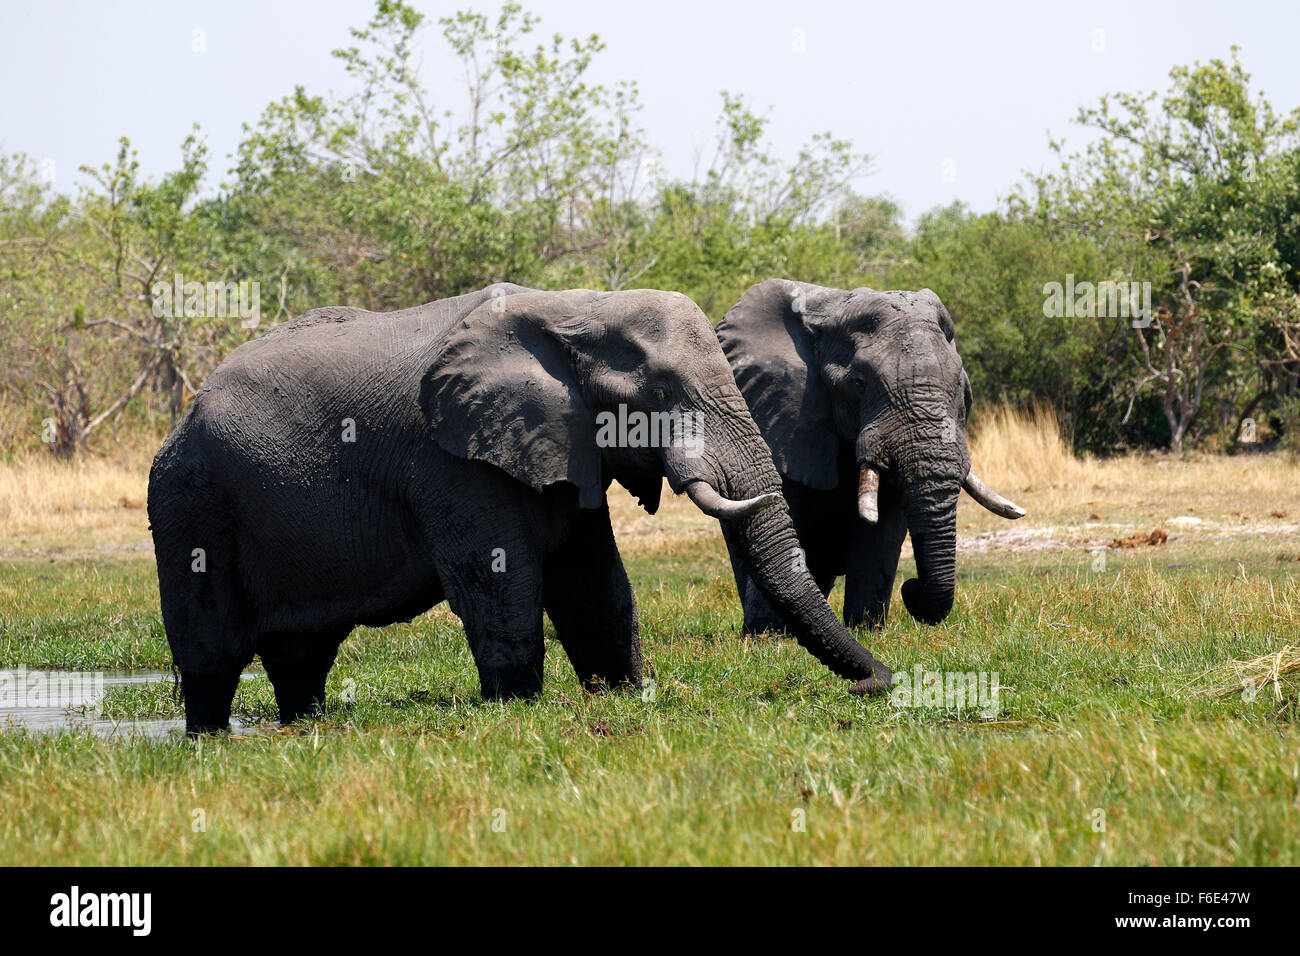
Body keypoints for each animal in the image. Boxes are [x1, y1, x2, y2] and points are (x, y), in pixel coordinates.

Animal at [148, 283, 894, 734]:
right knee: (211, 651)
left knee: (302, 653)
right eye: (660, 391)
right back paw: (208, 739)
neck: (576, 310)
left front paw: (624, 696)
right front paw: (515, 706)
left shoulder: (562, 442)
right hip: (189, 502)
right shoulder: (448, 458)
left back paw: (306, 728)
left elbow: (594, 582)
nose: (874, 686)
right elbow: (500, 579)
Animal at [715, 279, 1026, 635]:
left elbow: (883, 531)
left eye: (962, 387)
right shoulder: (783, 416)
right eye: (858, 384)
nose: (911, 588)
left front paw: (866, 630)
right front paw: (768, 635)